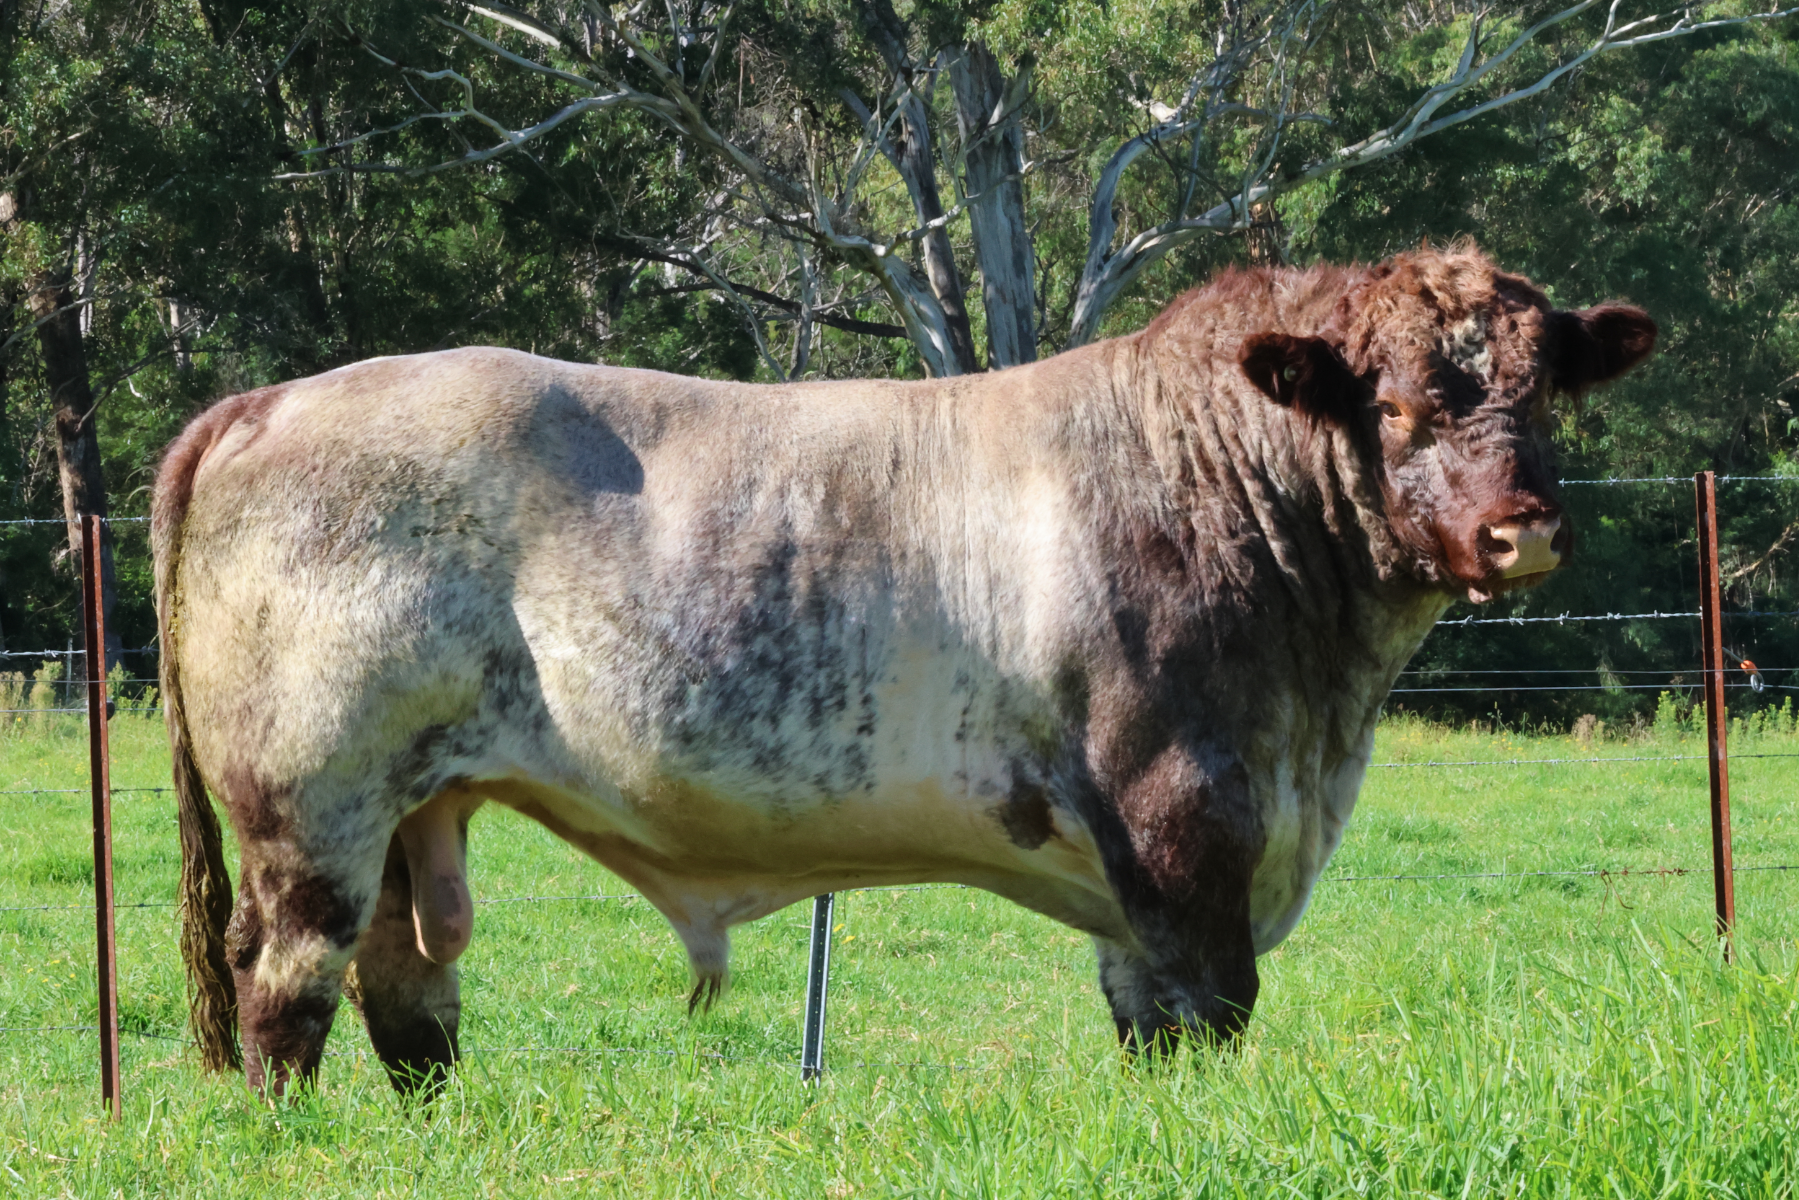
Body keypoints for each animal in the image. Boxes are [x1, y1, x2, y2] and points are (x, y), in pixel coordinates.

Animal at [154, 243, 1656, 1095]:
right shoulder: (1182, 811)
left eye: (1543, 390)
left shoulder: (1146, 866)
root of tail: (268, 400)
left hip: (418, 805)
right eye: (1393, 403)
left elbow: (1148, 1024)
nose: (1522, 529)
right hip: (311, 798)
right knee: (285, 978)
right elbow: (1209, 1007)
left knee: (406, 984)